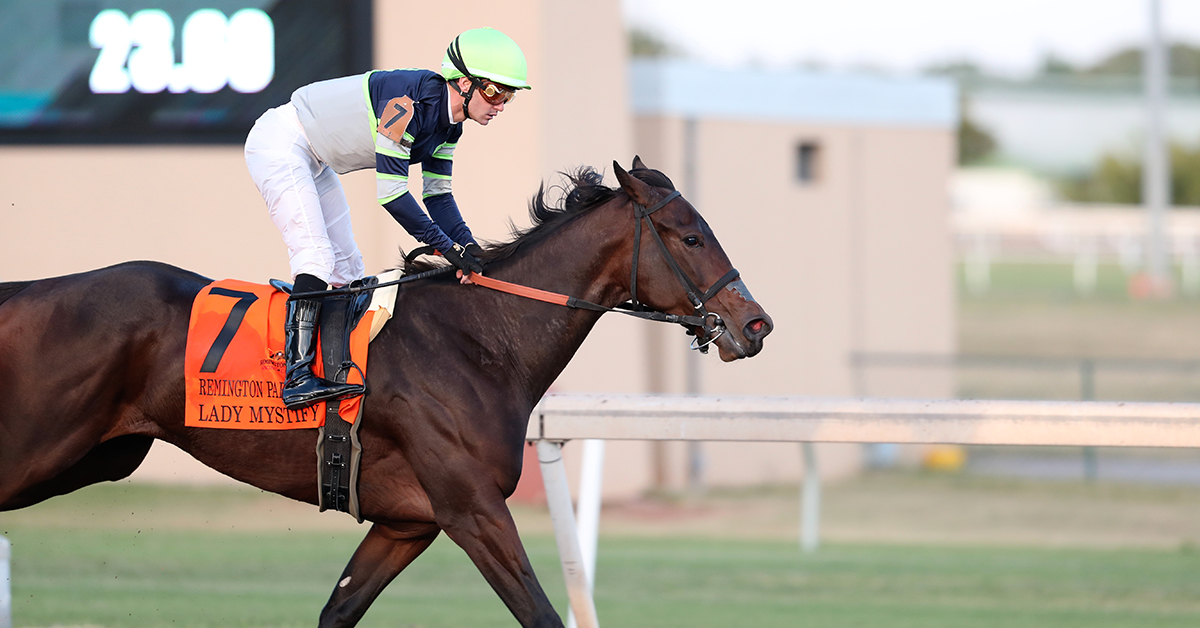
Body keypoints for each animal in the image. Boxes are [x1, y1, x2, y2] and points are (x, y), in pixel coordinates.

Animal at [0, 157, 773, 627]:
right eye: (689, 236)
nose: (755, 324)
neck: (479, 340)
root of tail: (26, 292)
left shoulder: (408, 523)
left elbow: (338, 610)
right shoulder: (472, 509)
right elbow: (541, 613)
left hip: (101, 455)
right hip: (41, 450)